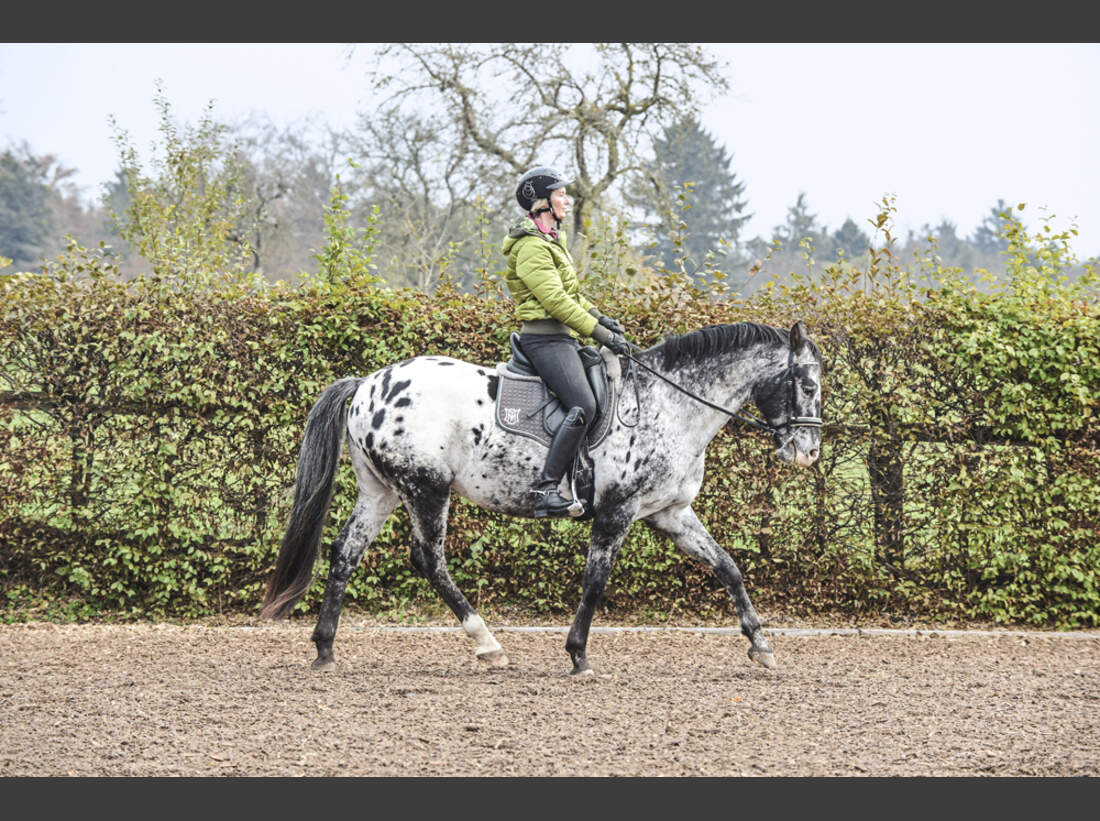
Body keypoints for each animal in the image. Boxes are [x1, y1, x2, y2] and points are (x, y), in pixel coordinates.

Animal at [260, 320, 823, 675]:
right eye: (811, 387)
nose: (808, 453)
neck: (667, 404)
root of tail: (368, 385)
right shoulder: (617, 512)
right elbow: (595, 581)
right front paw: (578, 656)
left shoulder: (670, 513)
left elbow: (728, 568)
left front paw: (761, 646)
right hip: (426, 488)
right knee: (428, 559)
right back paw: (487, 644)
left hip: (381, 492)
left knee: (345, 553)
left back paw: (325, 649)